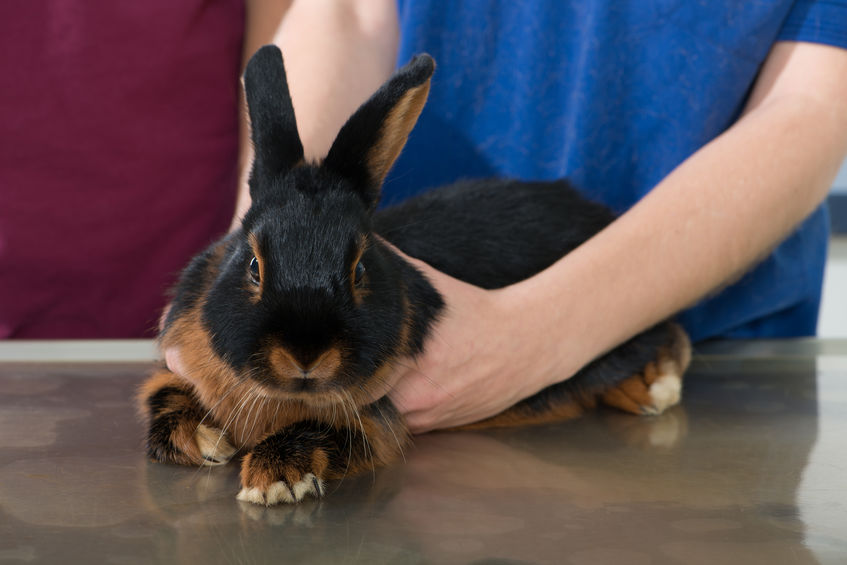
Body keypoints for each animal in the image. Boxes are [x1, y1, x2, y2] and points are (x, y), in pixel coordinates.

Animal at [138, 45, 691, 506]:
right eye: (253, 265)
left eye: (361, 268)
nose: (305, 354)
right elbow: (162, 395)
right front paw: (208, 441)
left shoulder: (370, 421)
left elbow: (317, 430)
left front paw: (273, 478)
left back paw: (654, 390)